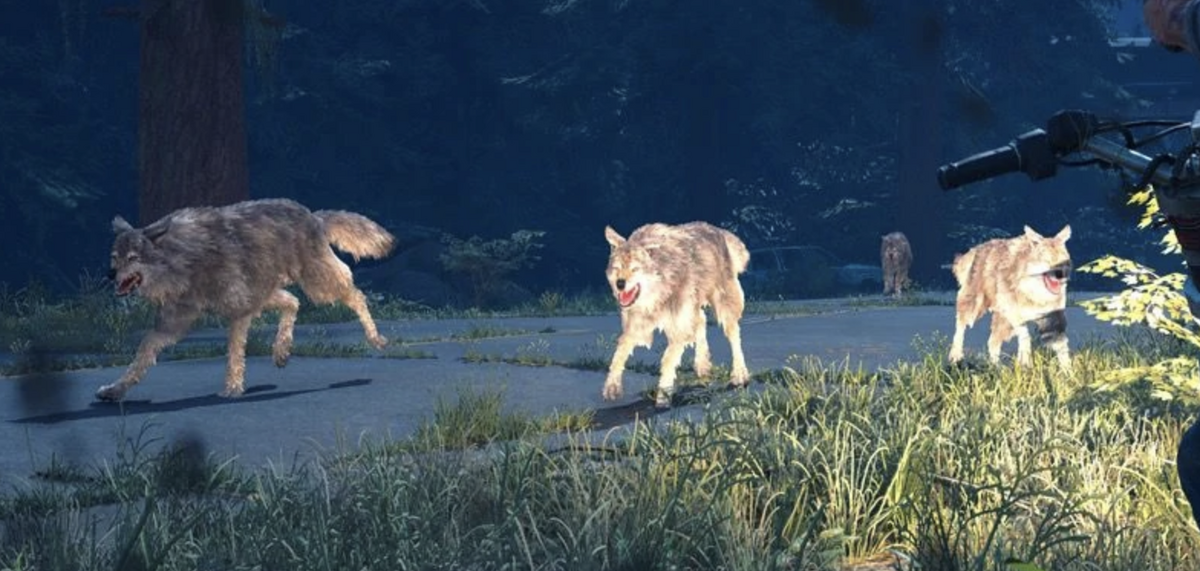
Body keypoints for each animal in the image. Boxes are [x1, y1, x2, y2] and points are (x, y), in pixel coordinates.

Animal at [100, 198, 396, 401]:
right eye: (114, 257)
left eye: (133, 258)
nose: (110, 273)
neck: (185, 260)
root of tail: (313, 215)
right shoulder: (171, 325)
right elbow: (142, 355)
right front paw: (115, 389)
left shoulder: (239, 310)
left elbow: (234, 353)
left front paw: (232, 388)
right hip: (267, 292)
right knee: (293, 301)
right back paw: (281, 351)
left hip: (318, 286)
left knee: (355, 295)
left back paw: (376, 339)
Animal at [602, 222, 751, 408]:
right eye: (617, 268)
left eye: (635, 269)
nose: (620, 284)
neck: (658, 293)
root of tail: (718, 230)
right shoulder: (636, 326)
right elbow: (619, 353)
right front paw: (612, 386)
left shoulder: (678, 328)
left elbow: (667, 359)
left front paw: (663, 394)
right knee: (701, 321)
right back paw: (702, 365)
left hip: (723, 306)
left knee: (734, 336)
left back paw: (739, 374)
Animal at [948, 224, 1073, 372]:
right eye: (1047, 260)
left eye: (1063, 261)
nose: (1060, 274)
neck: (1035, 295)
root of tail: (977, 248)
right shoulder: (1014, 314)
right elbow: (1025, 335)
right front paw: (1025, 362)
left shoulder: (1053, 320)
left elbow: (1062, 348)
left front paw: (1068, 372)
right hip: (975, 310)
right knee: (960, 327)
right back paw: (956, 357)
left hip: (1003, 324)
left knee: (992, 341)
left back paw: (997, 369)